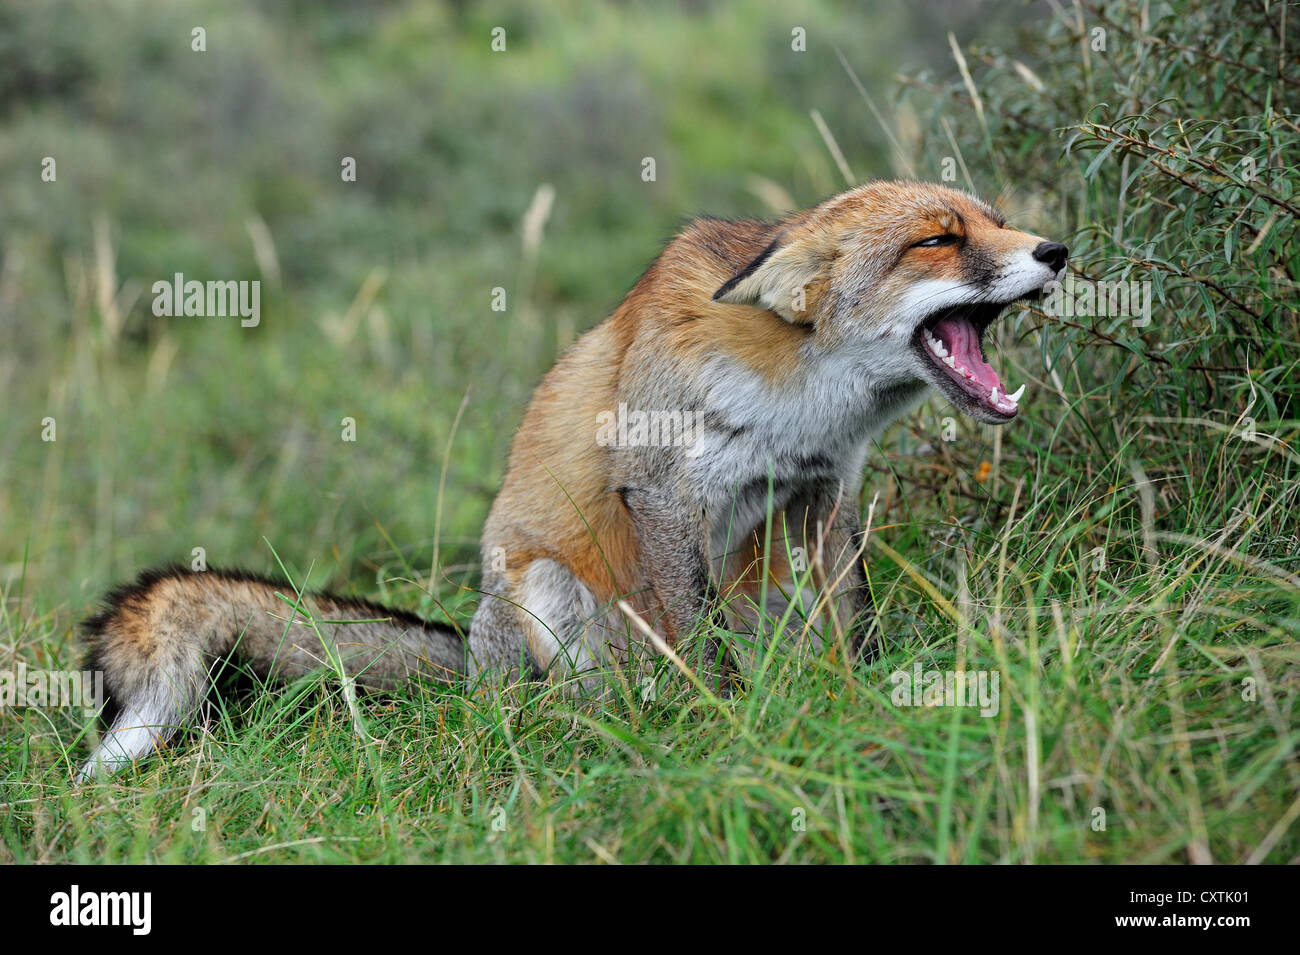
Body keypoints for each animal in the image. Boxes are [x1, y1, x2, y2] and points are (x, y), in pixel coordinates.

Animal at [77, 180, 1068, 781]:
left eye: (994, 218)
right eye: (938, 239)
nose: (1057, 250)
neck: (805, 399)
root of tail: (469, 658)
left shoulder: (825, 489)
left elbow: (853, 621)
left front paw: (868, 691)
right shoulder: (665, 489)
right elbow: (701, 641)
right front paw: (728, 723)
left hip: (764, 585)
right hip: (547, 592)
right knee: (574, 699)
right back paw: (603, 721)